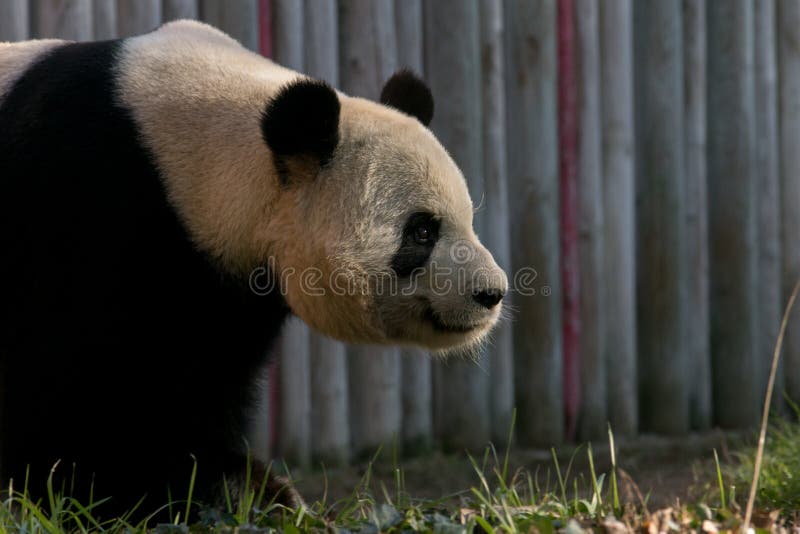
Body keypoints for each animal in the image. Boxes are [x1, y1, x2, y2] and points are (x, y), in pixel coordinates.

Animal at [0, 20, 507, 516]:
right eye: (421, 231)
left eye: (468, 218)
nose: (491, 293)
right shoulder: (82, 203)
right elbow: (69, 376)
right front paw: (99, 489)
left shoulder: (224, 286)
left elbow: (198, 383)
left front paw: (235, 487)